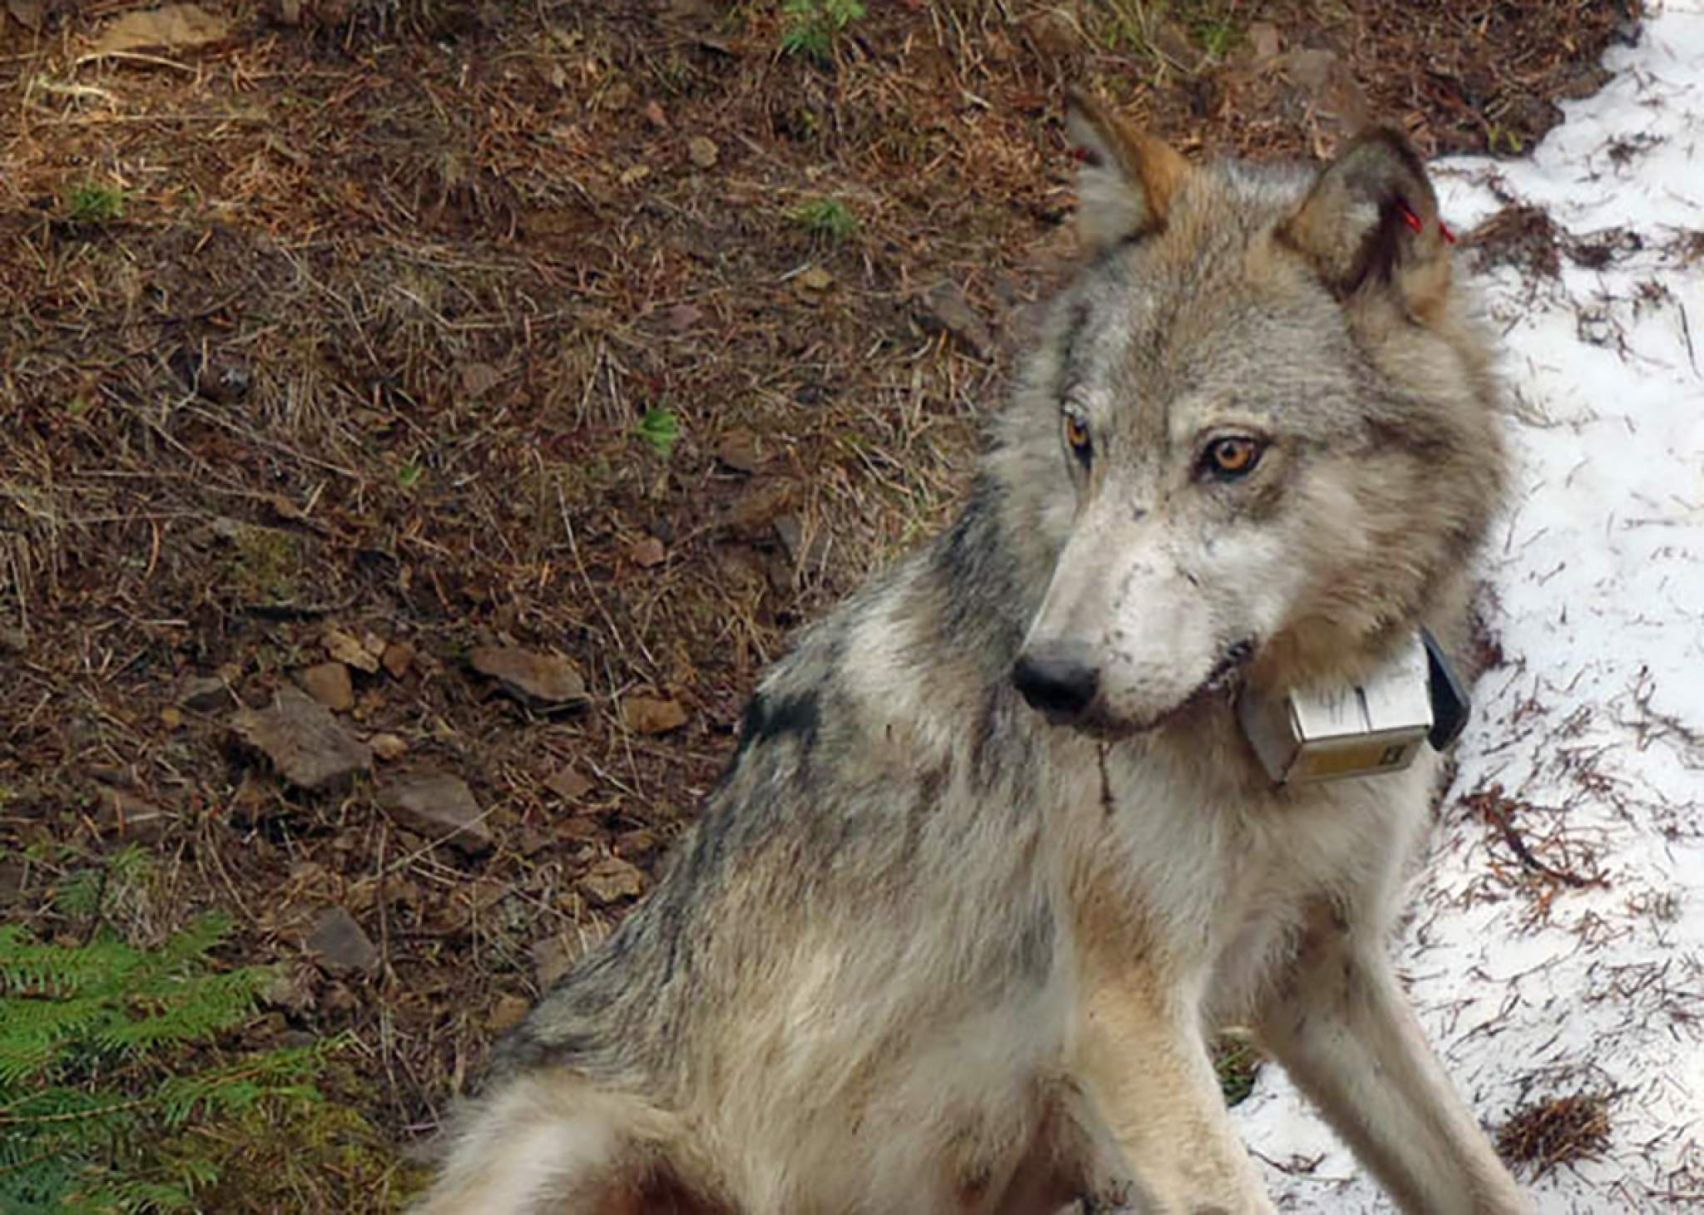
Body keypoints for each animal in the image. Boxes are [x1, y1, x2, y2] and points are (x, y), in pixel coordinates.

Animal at [412, 91, 1530, 1215]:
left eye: (1229, 454)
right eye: (1082, 438)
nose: (1048, 682)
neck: (1289, 733)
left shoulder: (1325, 975)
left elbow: (1482, 1181)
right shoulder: (1127, 1017)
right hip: (575, 1150)